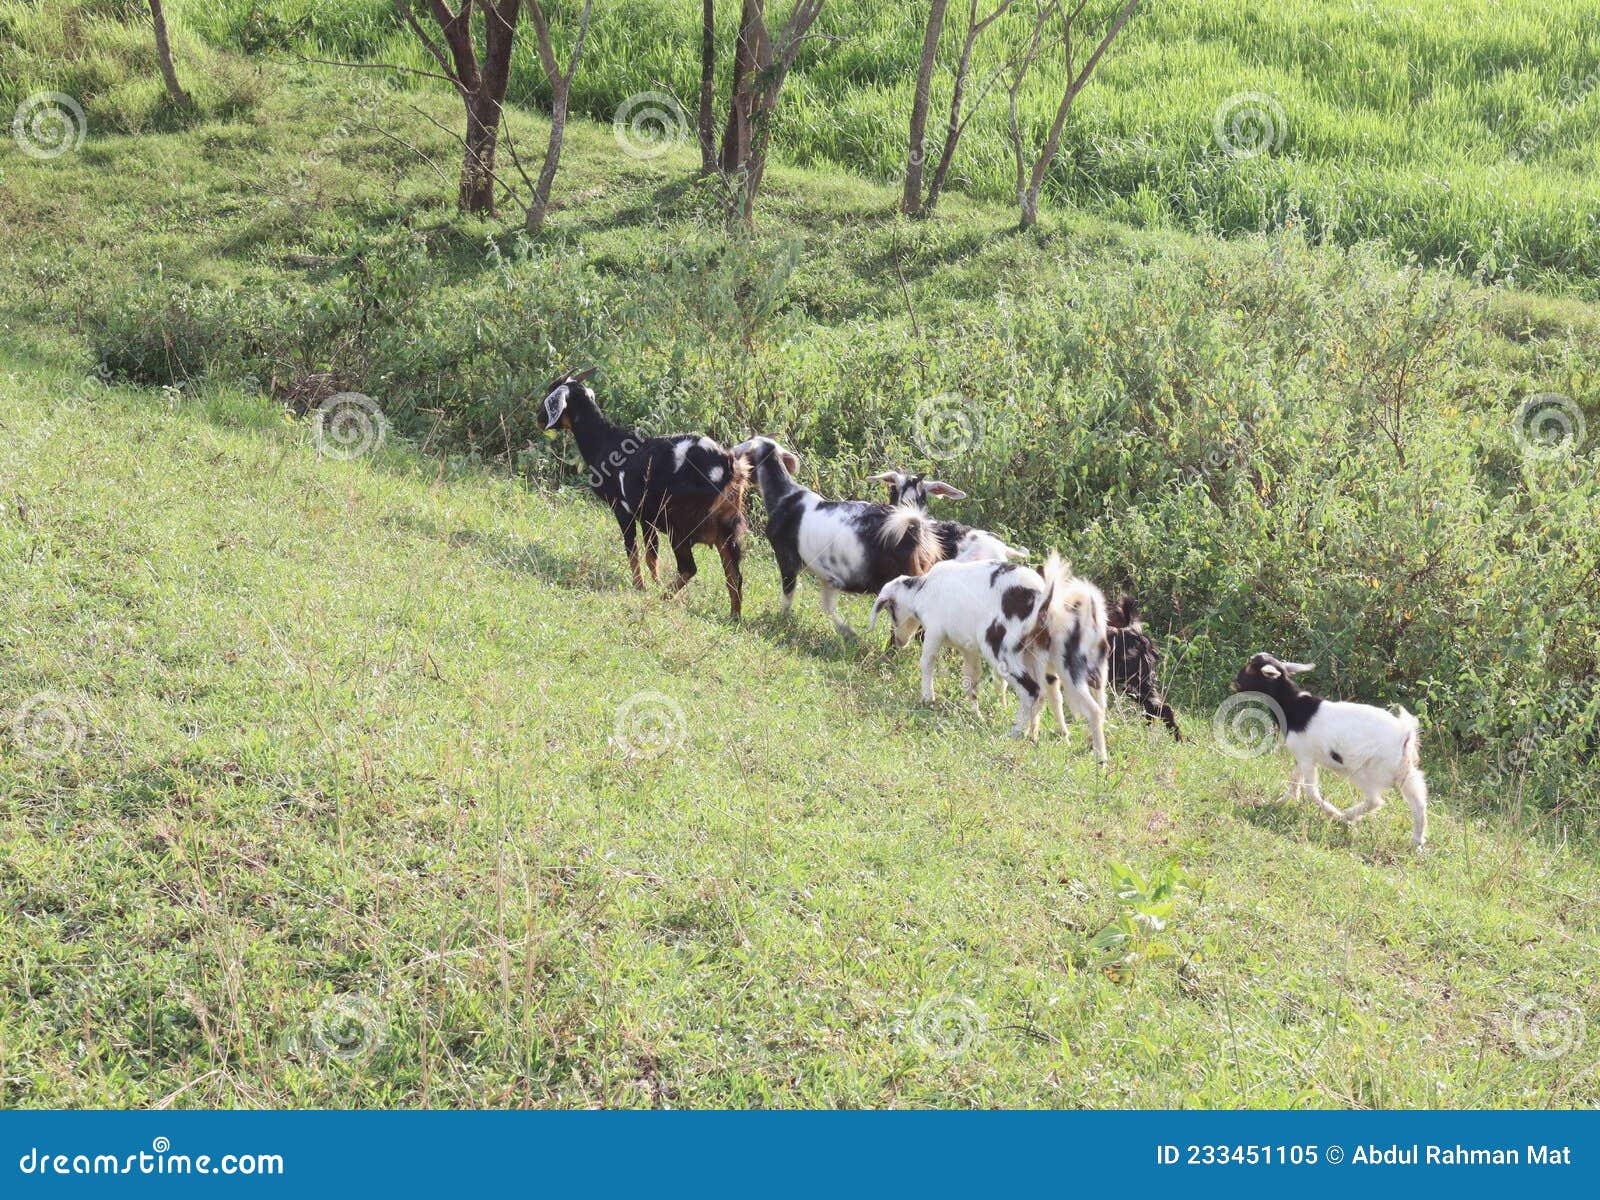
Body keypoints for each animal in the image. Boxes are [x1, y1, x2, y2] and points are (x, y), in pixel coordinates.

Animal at [542, 369, 749, 617]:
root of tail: (728, 466)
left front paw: (640, 587)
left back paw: (665, 599)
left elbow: (632, 549)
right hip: (727, 531)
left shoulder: (623, 510)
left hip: (678, 525)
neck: (606, 442)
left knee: (689, 568)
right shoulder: (647, 517)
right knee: (734, 576)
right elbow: (652, 554)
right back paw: (733, 617)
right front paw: (655, 583)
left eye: (550, 395)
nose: (539, 419)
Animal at [732, 437, 942, 636]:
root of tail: (911, 529)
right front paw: (848, 632)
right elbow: (827, 606)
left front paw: (782, 621)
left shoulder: (787, 559)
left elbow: (788, 596)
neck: (785, 498)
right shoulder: (828, 577)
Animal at [1230, 652, 1428, 849]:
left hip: (1366, 771)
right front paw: (1277, 803)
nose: (1235, 682)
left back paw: (1346, 816)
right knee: (1419, 803)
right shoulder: (1302, 757)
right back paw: (1416, 841)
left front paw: (1331, 813)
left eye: (1251, 668)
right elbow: (1294, 780)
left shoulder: (1307, 759)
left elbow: (1311, 792)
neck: (1293, 705)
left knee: (1375, 800)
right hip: (1406, 773)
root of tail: (1405, 735)